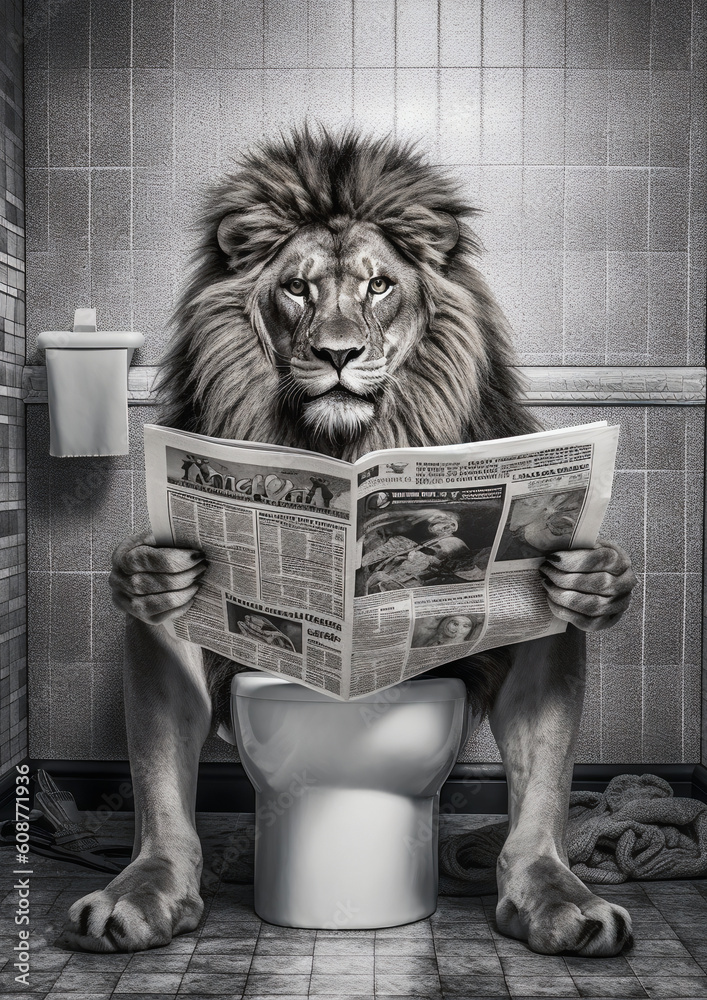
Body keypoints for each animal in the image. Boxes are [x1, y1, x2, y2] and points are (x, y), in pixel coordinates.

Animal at [61, 129, 636, 955]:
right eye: (298, 288)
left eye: (378, 287)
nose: (337, 354)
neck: (346, 445)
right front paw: (146, 572)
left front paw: (592, 577)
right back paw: (139, 892)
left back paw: (560, 900)